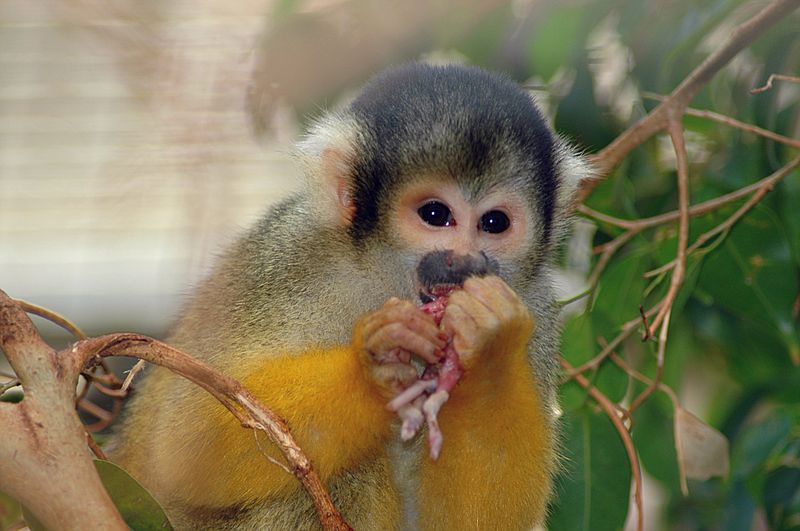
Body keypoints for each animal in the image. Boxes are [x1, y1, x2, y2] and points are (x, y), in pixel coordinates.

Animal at [111, 62, 588, 530]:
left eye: (494, 222)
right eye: (436, 214)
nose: (464, 262)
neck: (383, 284)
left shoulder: (535, 306)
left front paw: (489, 348)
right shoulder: (287, 260)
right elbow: (185, 446)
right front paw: (375, 369)